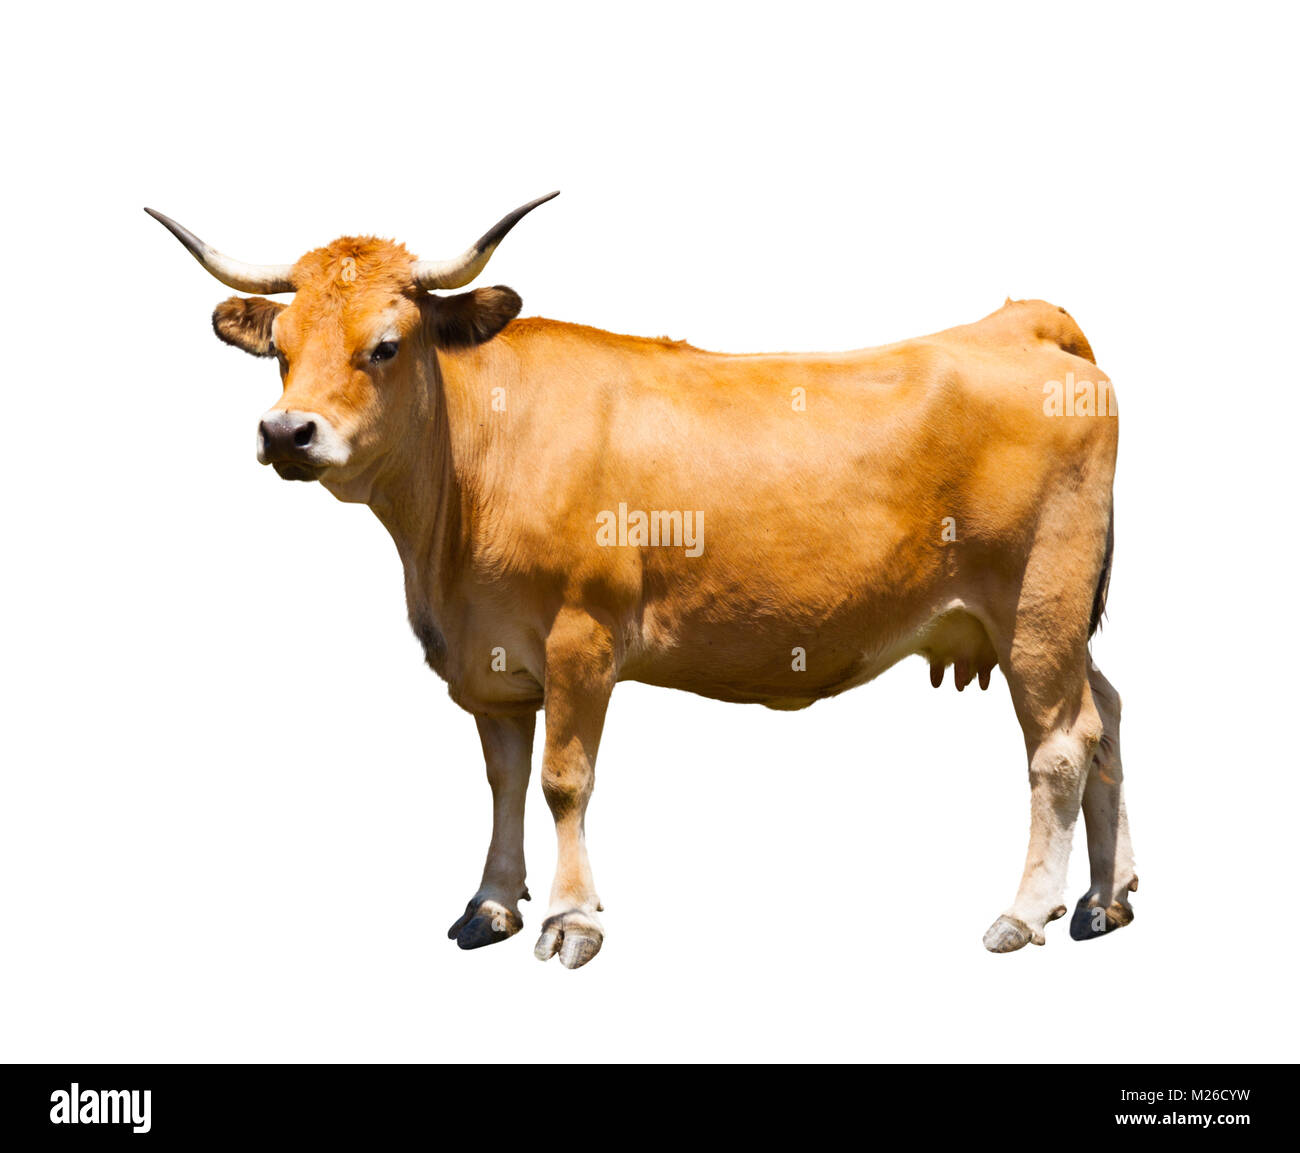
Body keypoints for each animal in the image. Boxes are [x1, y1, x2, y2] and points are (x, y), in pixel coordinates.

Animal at [147, 194, 1135, 968]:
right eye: (278, 346)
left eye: (386, 346)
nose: (286, 431)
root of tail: (1017, 321)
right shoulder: (490, 661)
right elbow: (504, 776)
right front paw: (491, 904)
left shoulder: (581, 637)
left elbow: (563, 779)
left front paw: (570, 919)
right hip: (1057, 620)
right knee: (1109, 716)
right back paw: (1105, 898)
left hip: (1037, 605)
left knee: (1059, 743)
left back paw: (1024, 912)